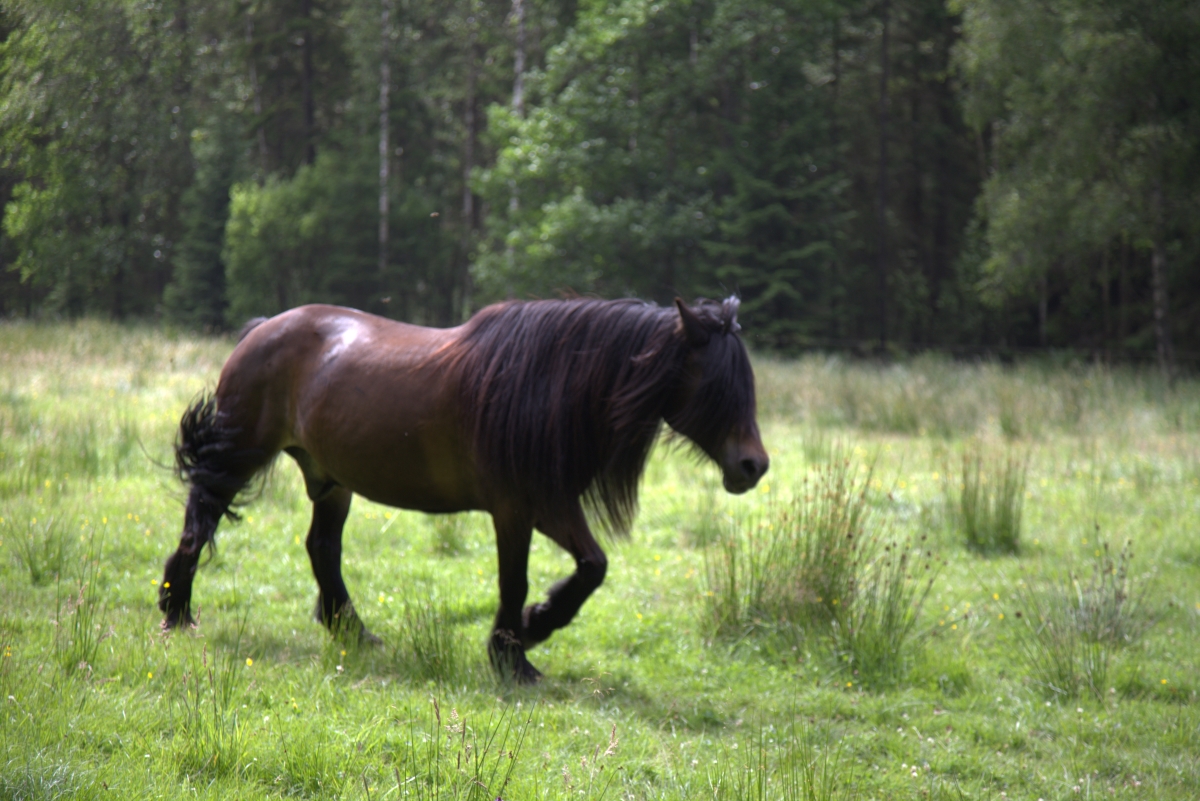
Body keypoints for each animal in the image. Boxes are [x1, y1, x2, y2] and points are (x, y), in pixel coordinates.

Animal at [159, 296, 768, 682]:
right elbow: (515, 581)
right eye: (716, 385)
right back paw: (176, 611)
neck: (547, 386)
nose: (754, 466)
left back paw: (352, 632)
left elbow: (593, 567)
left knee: (322, 548)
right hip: (240, 456)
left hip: (331, 480)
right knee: (200, 523)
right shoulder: (516, 509)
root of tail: (262, 329)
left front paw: (536, 627)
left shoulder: (552, 504)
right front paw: (513, 654)